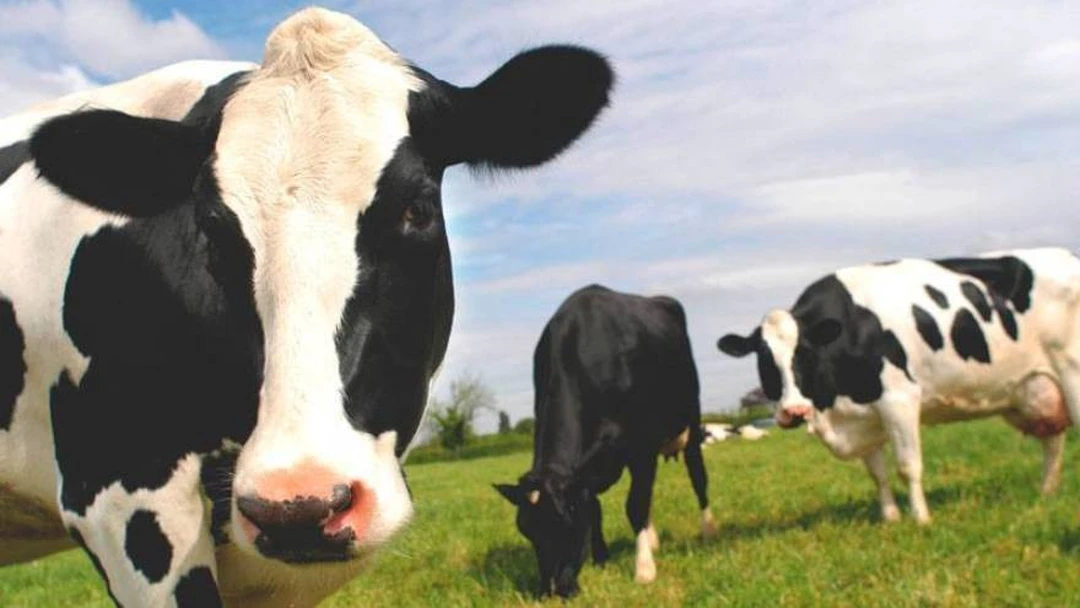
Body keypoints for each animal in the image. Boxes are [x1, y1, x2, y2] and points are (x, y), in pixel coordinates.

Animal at [495, 285, 716, 598]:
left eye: (566, 524)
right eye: (526, 530)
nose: (551, 591)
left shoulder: (642, 448)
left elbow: (635, 505)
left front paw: (644, 570)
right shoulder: (586, 470)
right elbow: (596, 507)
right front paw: (601, 558)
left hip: (691, 420)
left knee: (697, 477)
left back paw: (708, 529)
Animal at [717, 248, 1080, 525]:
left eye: (805, 353)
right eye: (764, 359)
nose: (793, 411)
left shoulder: (899, 399)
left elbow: (908, 466)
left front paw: (921, 519)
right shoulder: (863, 417)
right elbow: (878, 474)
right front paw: (890, 518)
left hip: (1072, 372)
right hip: (1035, 390)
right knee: (1053, 442)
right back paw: (1046, 493)